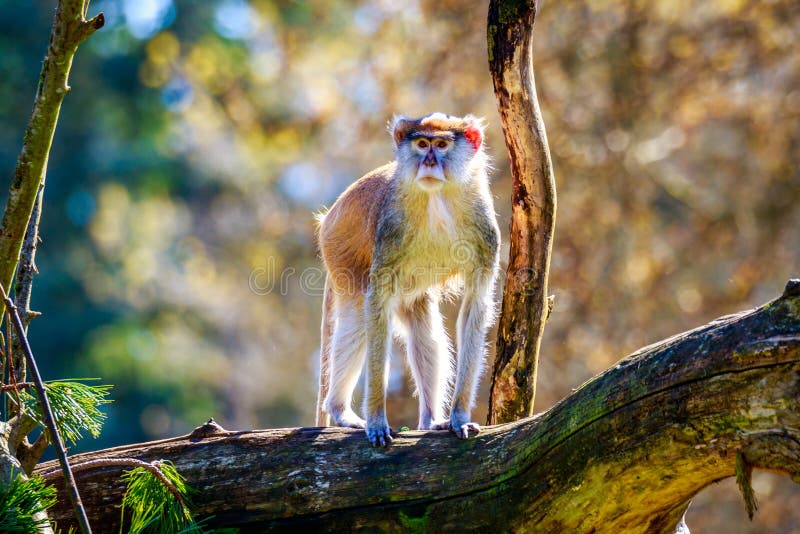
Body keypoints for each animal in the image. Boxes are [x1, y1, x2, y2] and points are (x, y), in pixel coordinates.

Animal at [315, 112, 500, 447]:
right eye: (422, 144)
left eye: (441, 145)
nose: (429, 162)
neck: (437, 197)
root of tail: (329, 218)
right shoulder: (390, 229)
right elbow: (376, 305)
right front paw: (377, 420)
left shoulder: (485, 233)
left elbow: (475, 306)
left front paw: (459, 417)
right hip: (340, 251)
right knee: (359, 315)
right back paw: (339, 411)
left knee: (422, 325)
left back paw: (430, 420)